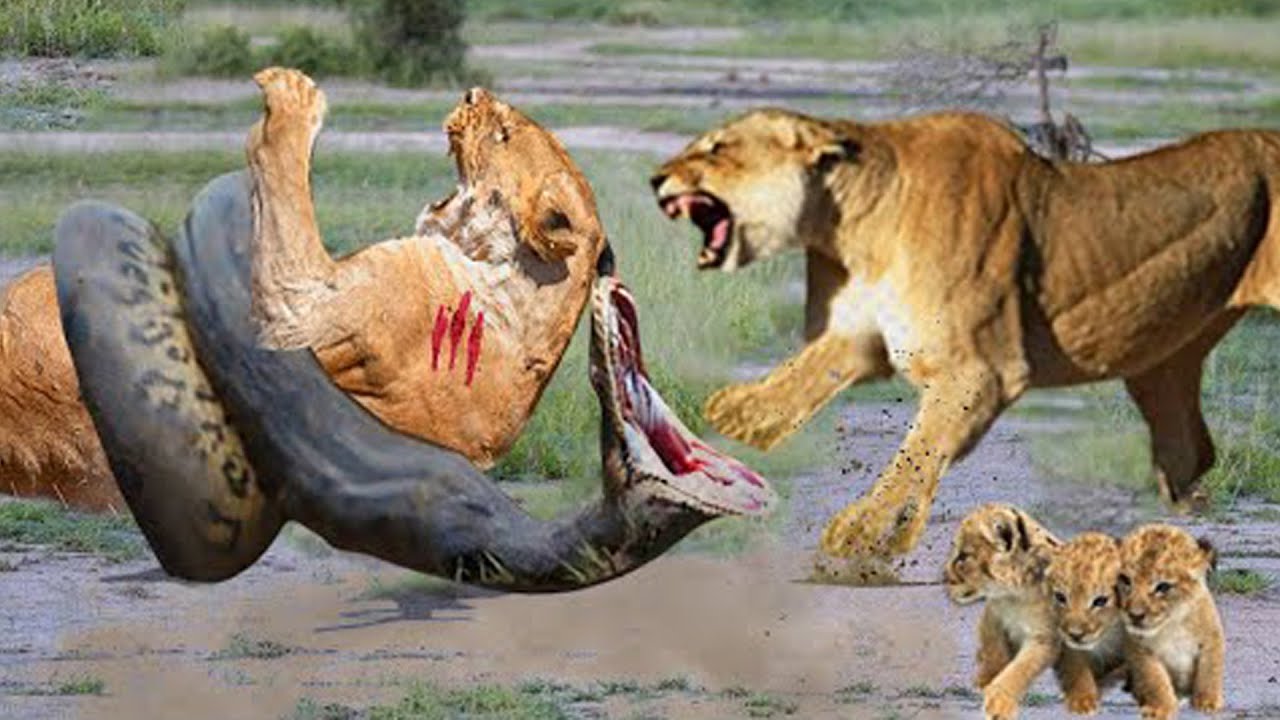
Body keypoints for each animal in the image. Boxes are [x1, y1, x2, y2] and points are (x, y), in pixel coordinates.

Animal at [652, 108, 1280, 564]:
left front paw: (864, 535)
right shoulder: (862, 331)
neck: (851, 226)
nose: (656, 178)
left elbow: (916, 454)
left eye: (716, 148)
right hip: (1165, 364)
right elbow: (805, 372)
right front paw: (738, 415)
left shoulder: (981, 372)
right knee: (1192, 446)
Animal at [943, 503, 1061, 720]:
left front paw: (998, 704)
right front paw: (984, 680)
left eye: (963, 556)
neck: (1015, 594)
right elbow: (994, 648)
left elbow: (1020, 669)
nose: (945, 578)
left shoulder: (1045, 636)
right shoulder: (993, 612)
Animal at [1118, 524, 1225, 719]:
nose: (1135, 615)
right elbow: (1155, 679)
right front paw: (1160, 708)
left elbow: (1209, 671)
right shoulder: (1139, 648)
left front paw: (1207, 702)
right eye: (1125, 580)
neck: (1171, 624)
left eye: (1163, 587)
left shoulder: (1211, 637)